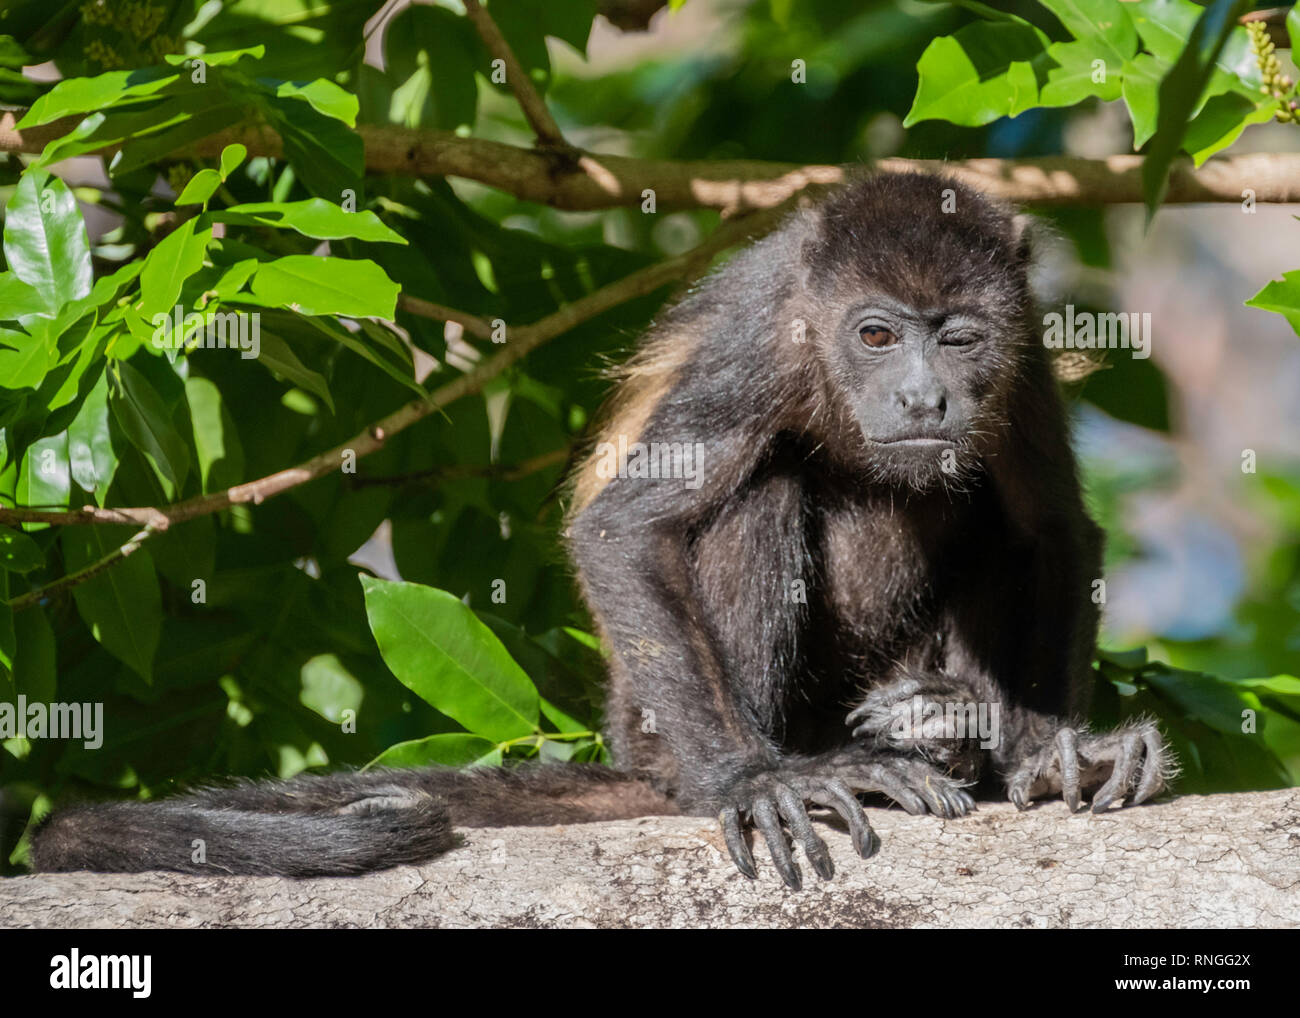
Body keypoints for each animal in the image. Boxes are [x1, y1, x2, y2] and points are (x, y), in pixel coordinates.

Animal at [29, 172, 1172, 887]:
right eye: (877, 334)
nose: (925, 398)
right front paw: (752, 782)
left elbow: (1052, 529)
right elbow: (628, 525)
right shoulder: (761, 341)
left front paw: (1045, 754)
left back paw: (941, 723)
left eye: (960, 338)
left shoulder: (1024, 351)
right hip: (651, 719)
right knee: (763, 488)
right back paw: (815, 758)